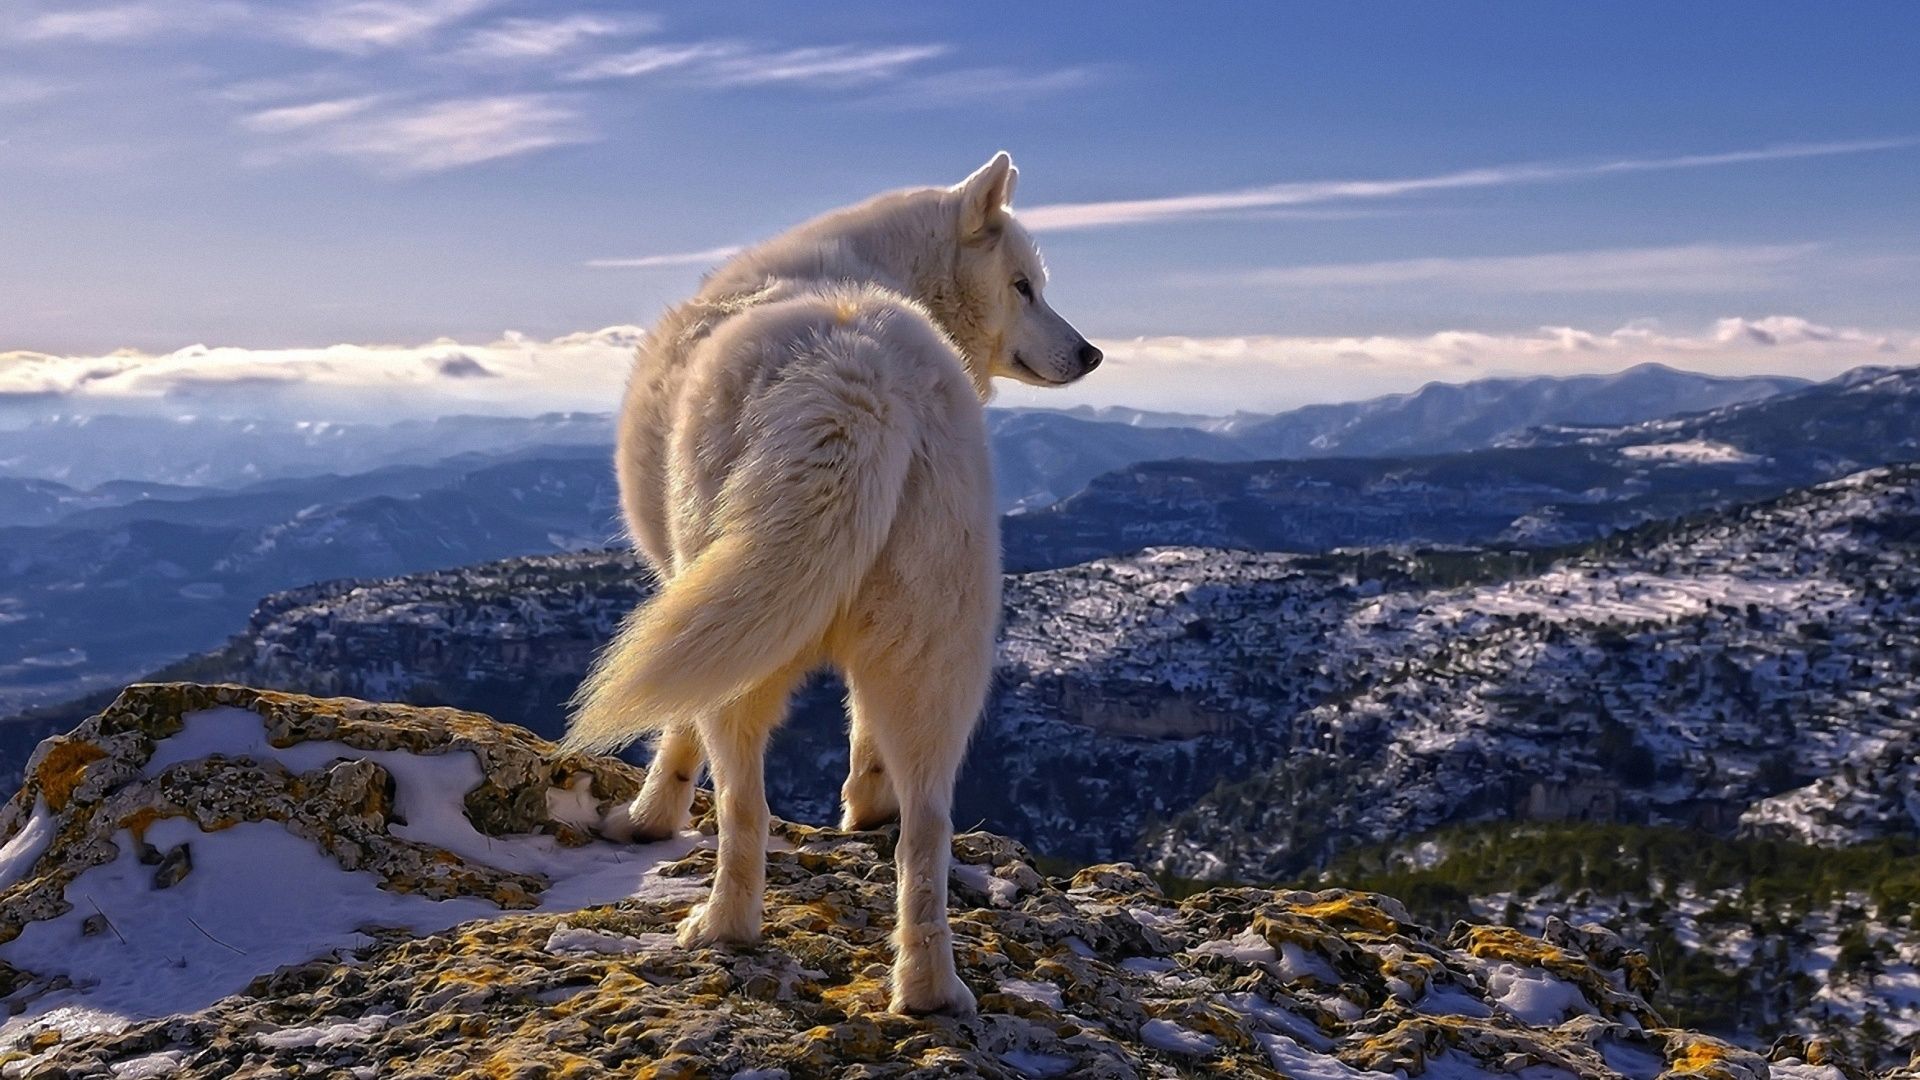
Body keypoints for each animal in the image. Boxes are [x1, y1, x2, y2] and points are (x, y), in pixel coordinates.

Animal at [559, 152, 1099, 1014]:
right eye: (1024, 286)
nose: (1091, 354)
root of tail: (861, 381)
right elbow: (862, 734)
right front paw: (866, 805)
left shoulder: (689, 588)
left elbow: (675, 733)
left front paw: (648, 818)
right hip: (935, 654)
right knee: (928, 827)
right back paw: (928, 988)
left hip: (747, 643)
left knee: (745, 805)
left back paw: (721, 928)